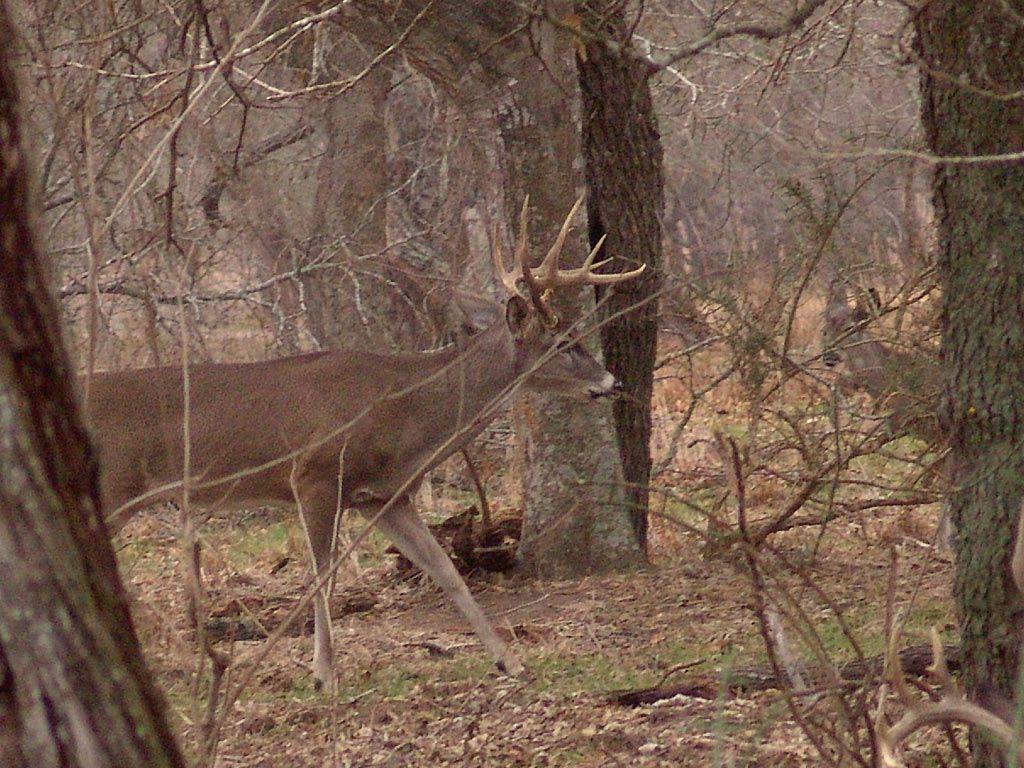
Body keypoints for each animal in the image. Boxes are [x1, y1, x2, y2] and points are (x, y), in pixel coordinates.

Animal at [84, 198, 644, 691]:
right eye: (563, 343)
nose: (612, 381)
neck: (407, 413)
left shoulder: (384, 496)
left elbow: (447, 572)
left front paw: (511, 661)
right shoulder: (313, 474)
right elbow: (321, 578)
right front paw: (323, 676)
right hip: (114, 488)